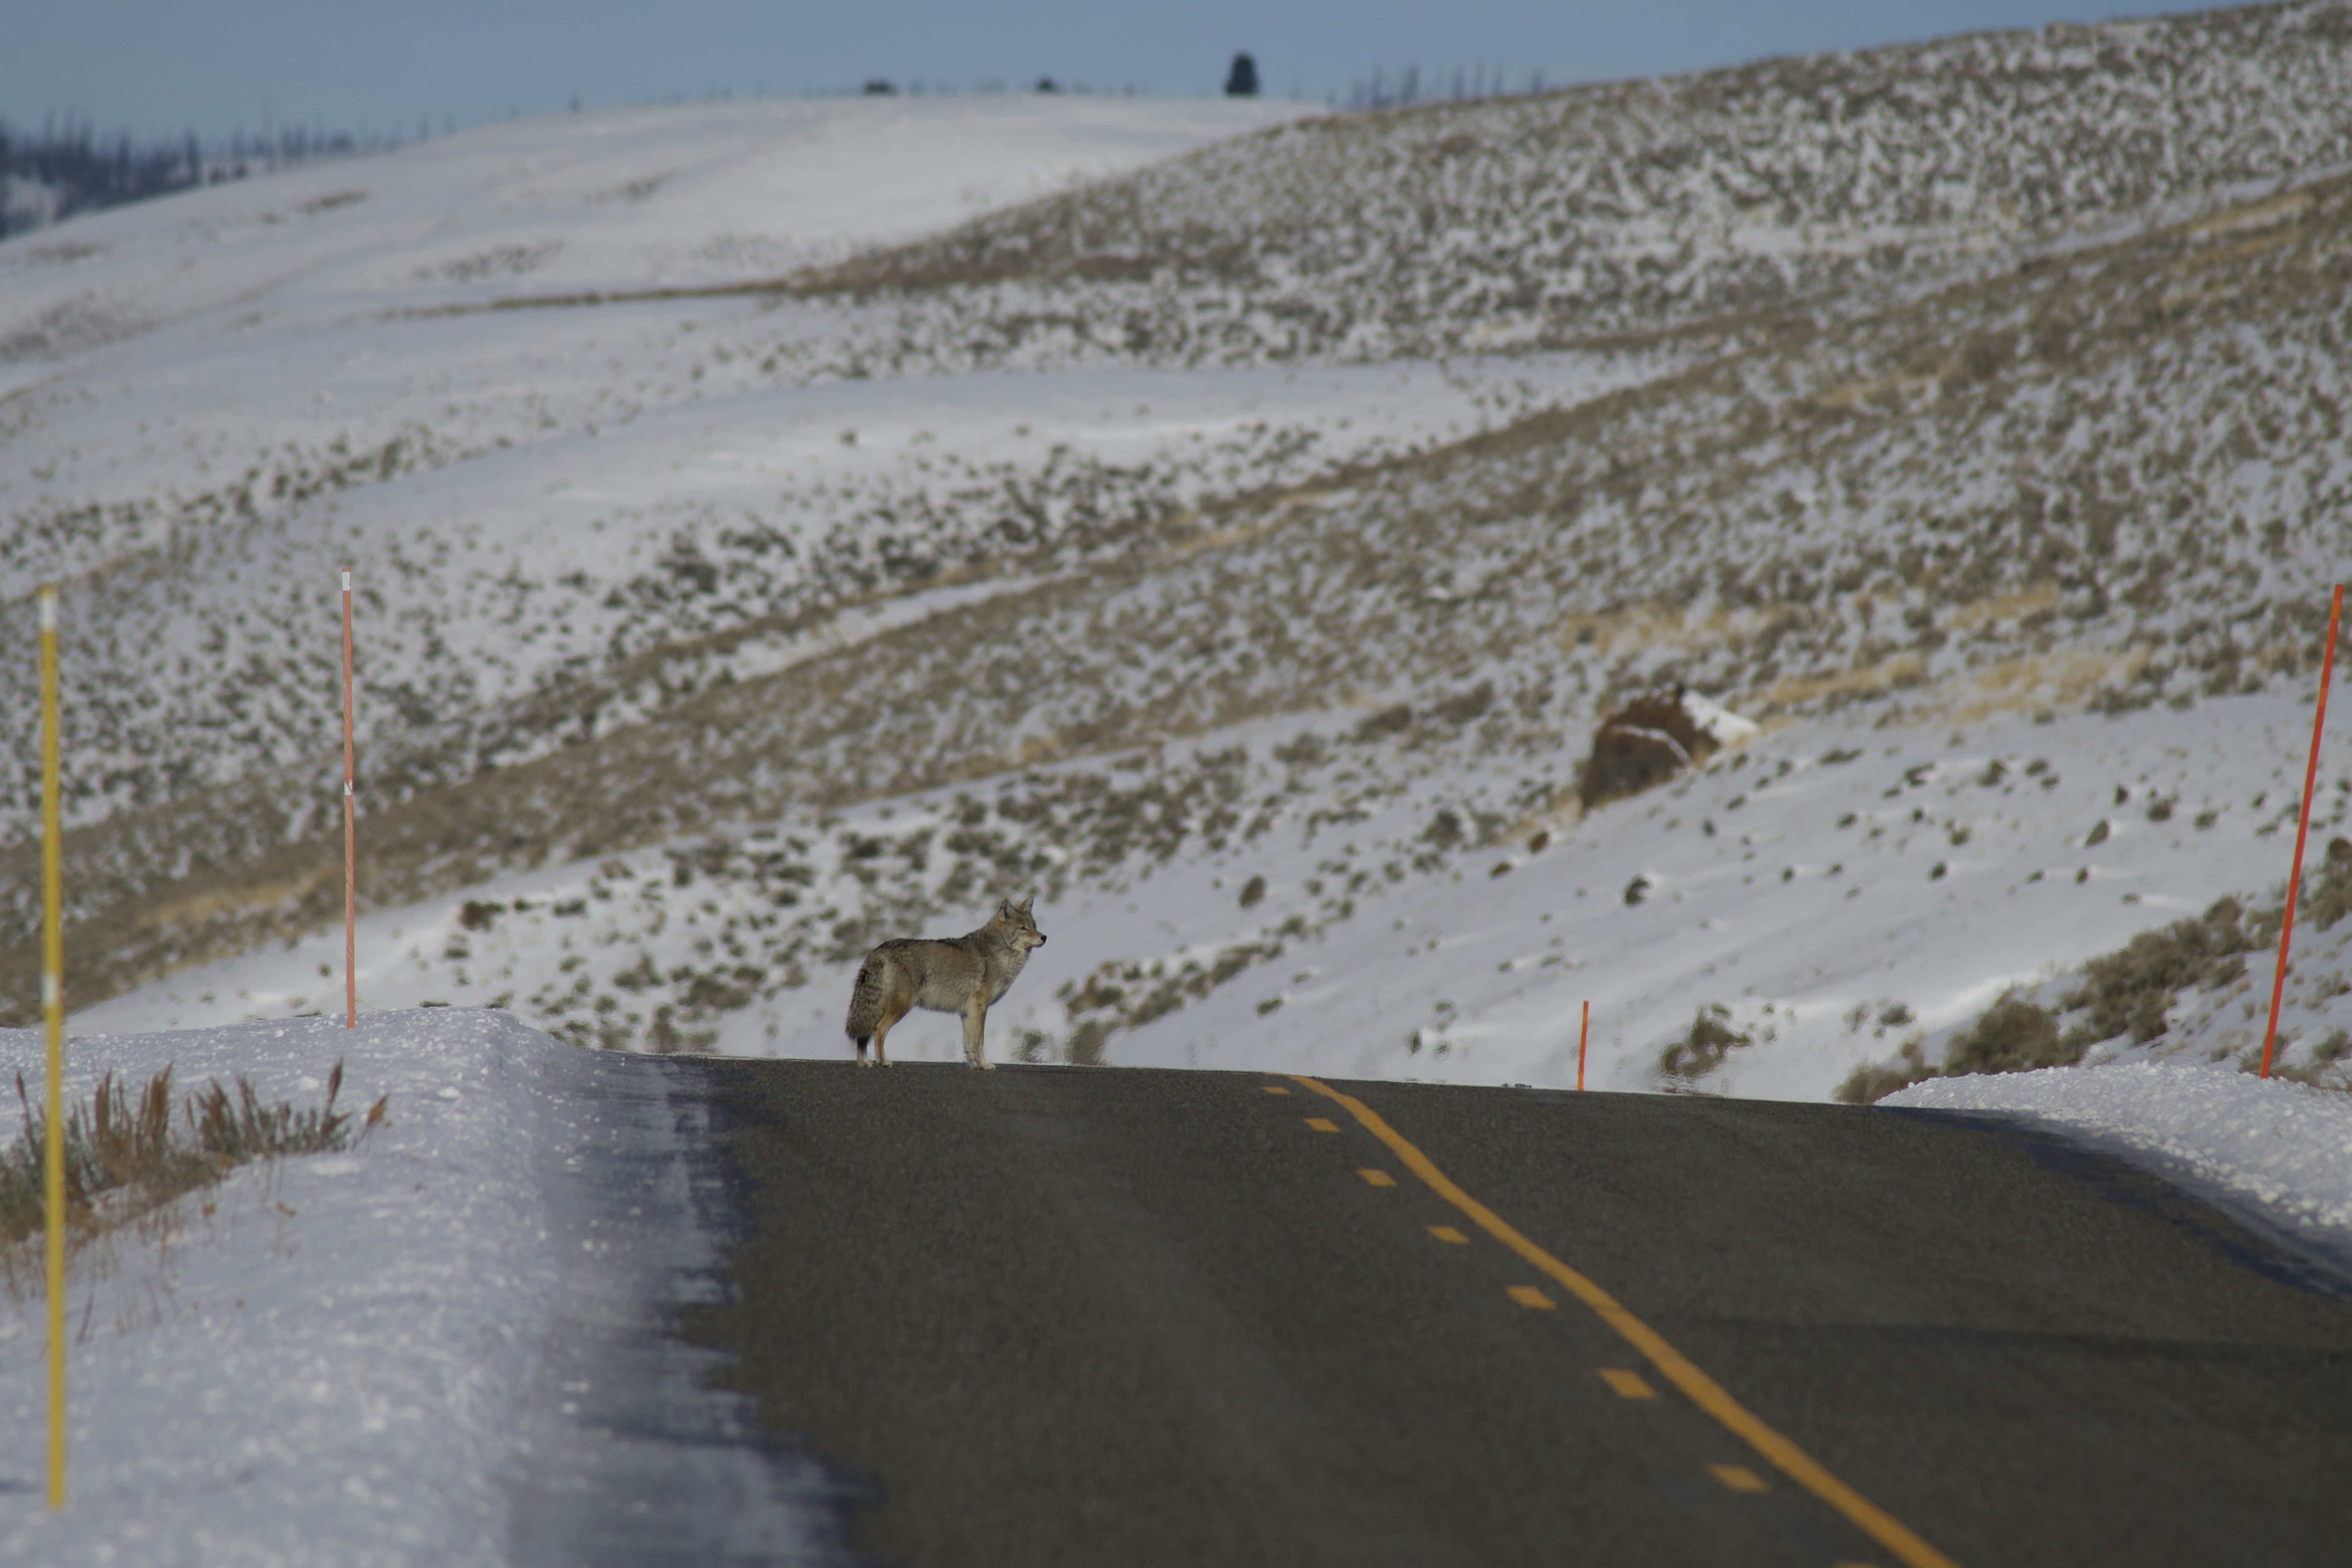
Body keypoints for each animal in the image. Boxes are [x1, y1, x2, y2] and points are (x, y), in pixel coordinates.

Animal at [844, 896, 1047, 1068]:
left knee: (864, 1036)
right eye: (1023, 928)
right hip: (900, 1007)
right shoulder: (980, 1008)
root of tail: (879, 950)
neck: (999, 952)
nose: (1044, 937)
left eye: (1034, 926)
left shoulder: (968, 1012)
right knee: (878, 1030)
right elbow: (979, 1042)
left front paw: (975, 1066)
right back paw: (883, 1062)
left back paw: (865, 1063)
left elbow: (969, 1044)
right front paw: (985, 1065)